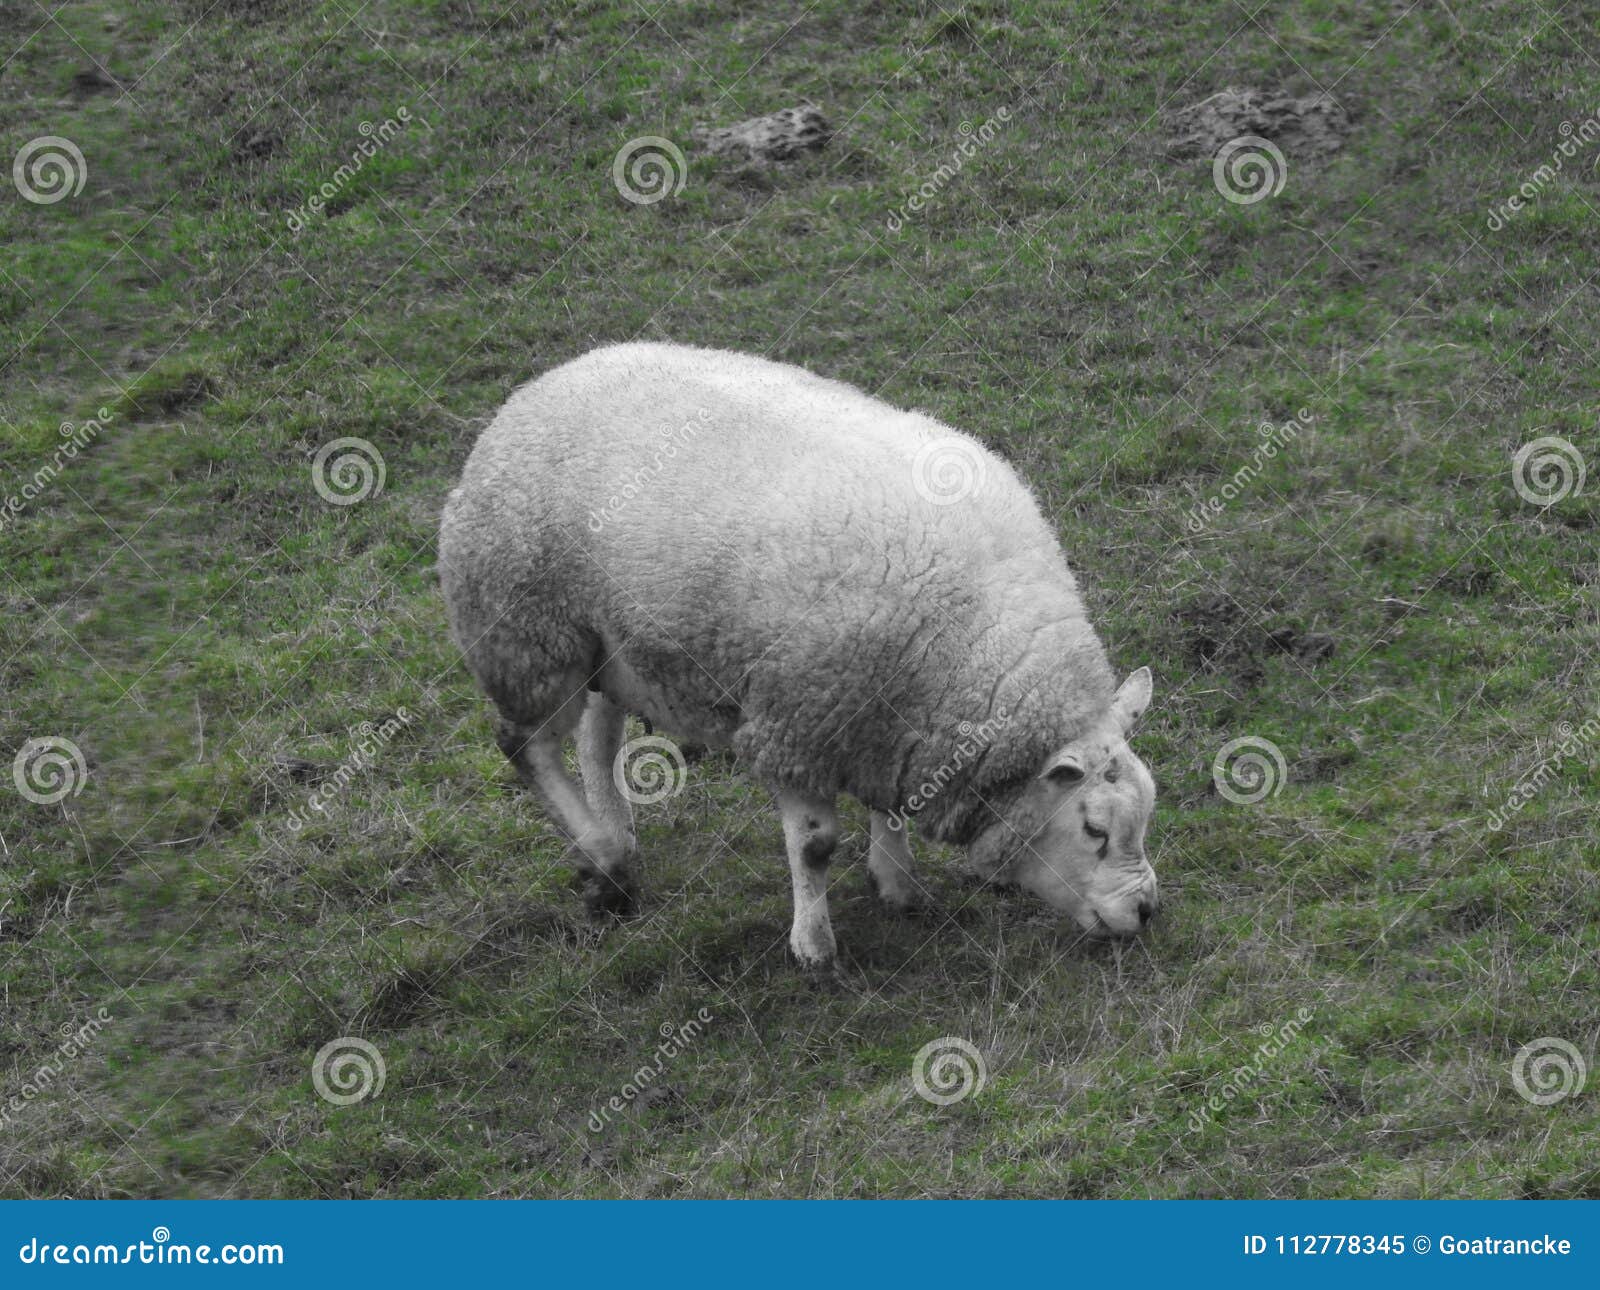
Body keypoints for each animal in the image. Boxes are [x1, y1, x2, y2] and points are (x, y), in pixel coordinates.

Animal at [439, 342, 1158, 969]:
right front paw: (813, 946)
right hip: (526, 630)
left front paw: (898, 885)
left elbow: (889, 807)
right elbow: (814, 848)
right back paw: (603, 858)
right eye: (1094, 830)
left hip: (603, 640)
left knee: (596, 737)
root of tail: (547, 381)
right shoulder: (798, 720)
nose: (1147, 911)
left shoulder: (889, 725)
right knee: (525, 744)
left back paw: (616, 844)